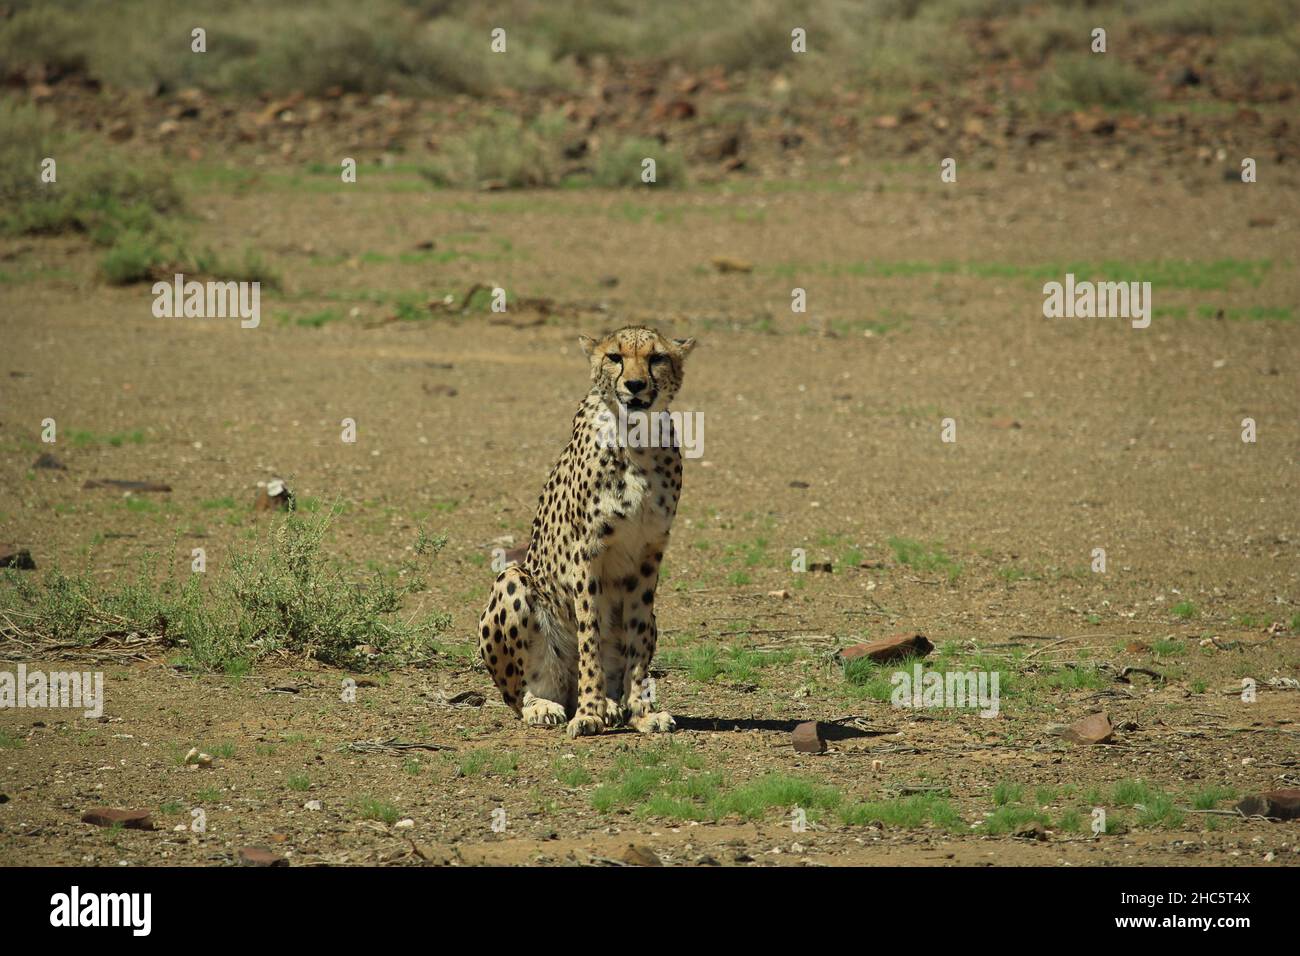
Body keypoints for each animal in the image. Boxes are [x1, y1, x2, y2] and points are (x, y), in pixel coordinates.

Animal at [476, 325, 696, 738]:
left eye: (657, 358)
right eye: (615, 357)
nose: (635, 384)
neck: (636, 439)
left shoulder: (649, 554)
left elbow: (635, 640)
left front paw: (641, 712)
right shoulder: (587, 553)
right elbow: (590, 634)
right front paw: (589, 713)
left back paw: (612, 703)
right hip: (513, 579)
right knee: (524, 692)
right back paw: (547, 705)